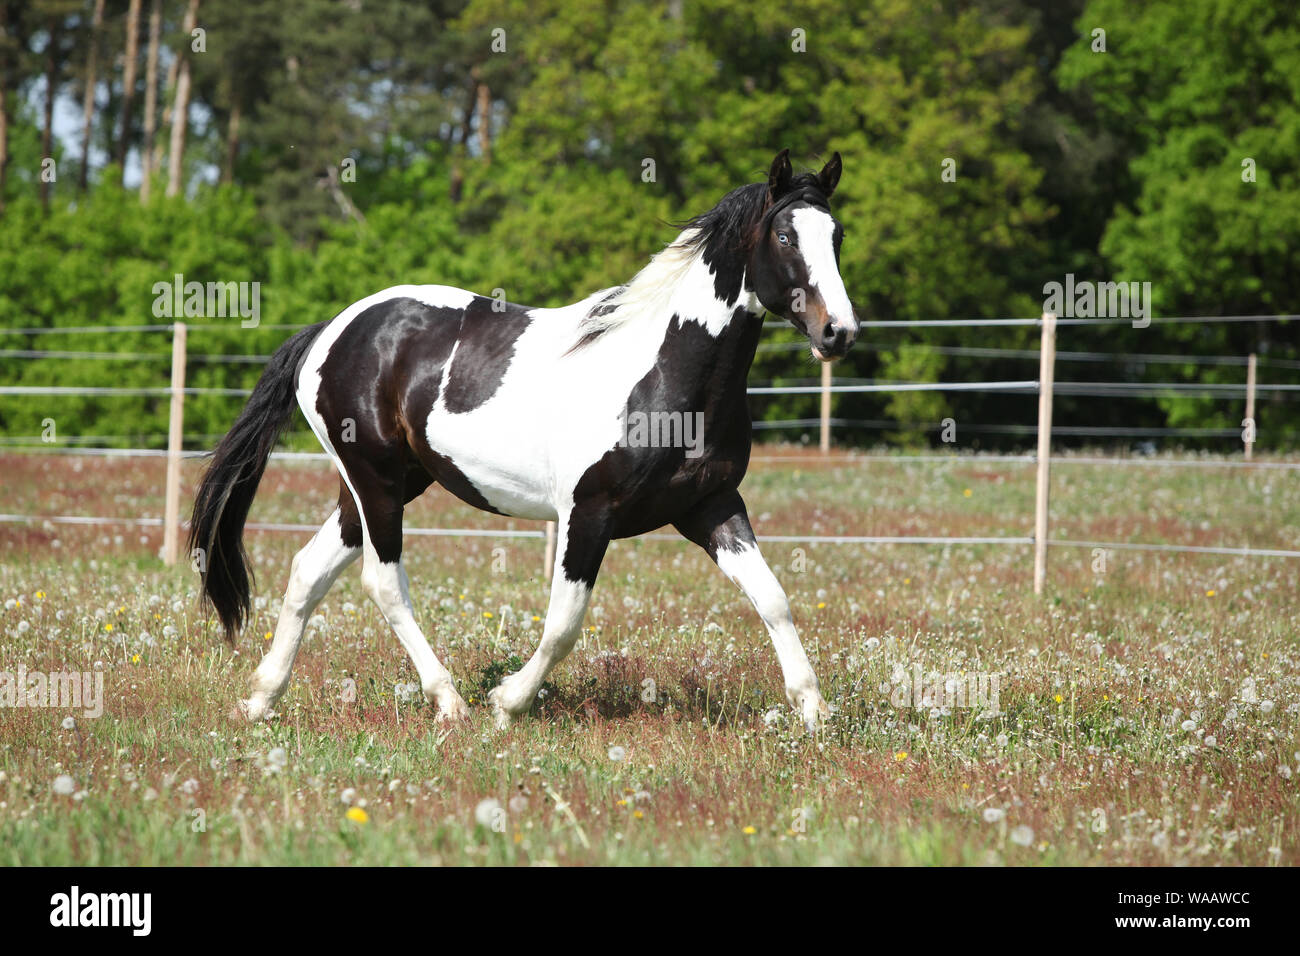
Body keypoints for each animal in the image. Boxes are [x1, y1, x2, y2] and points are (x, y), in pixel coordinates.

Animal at [189, 148, 857, 732]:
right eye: (785, 237)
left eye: (838, 235)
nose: (839, 332)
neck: (664, 372)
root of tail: (331, 329)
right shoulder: (588, 513)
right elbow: (564, 623)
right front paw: (508, 702)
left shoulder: (710, 507)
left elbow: (773, 599)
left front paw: (815, 714)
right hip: (374, 480)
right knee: (383, 582)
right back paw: (450, 702)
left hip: (388, 484)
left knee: (309, 570)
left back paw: (261, 699)